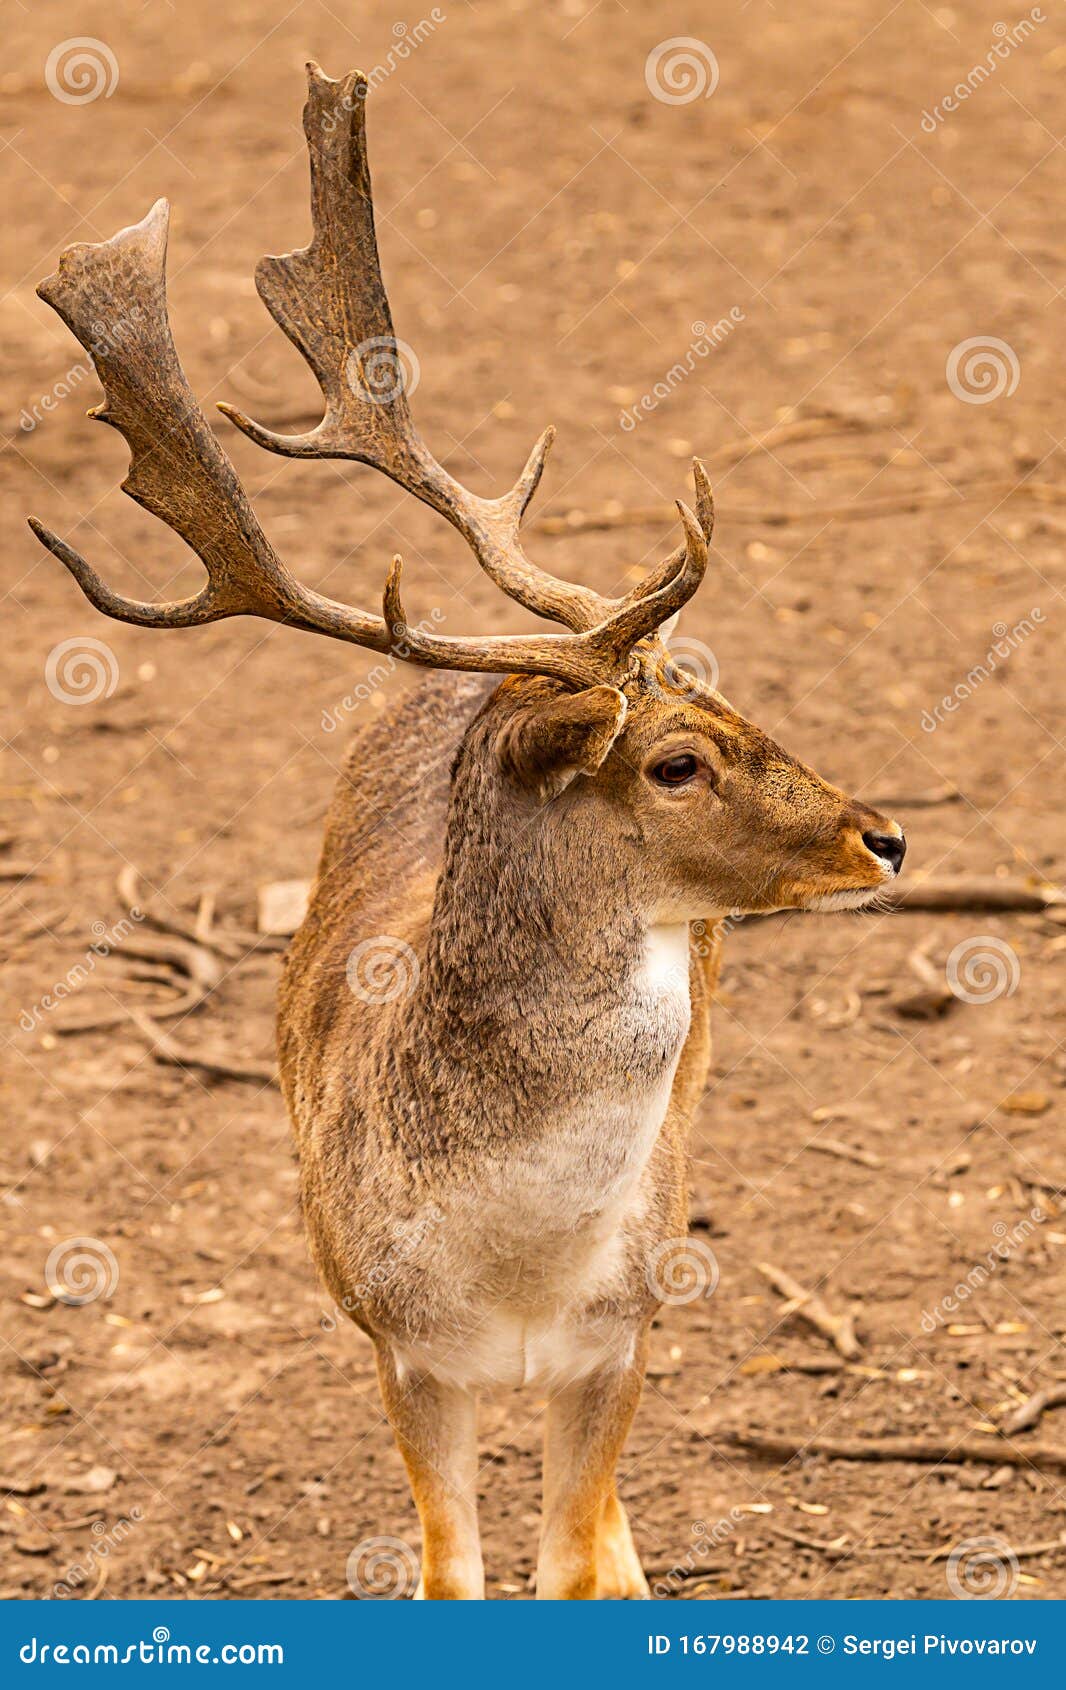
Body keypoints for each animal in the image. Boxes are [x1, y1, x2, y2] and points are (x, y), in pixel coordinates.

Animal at [29, 64, 906, 1600]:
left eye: (724, 694)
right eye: (675, 760)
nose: (884, 836)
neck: (511, 1268)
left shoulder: (616, 1340)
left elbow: (568, 1561)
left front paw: (609, 1567)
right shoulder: (394, 1343)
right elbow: (455, 1573)